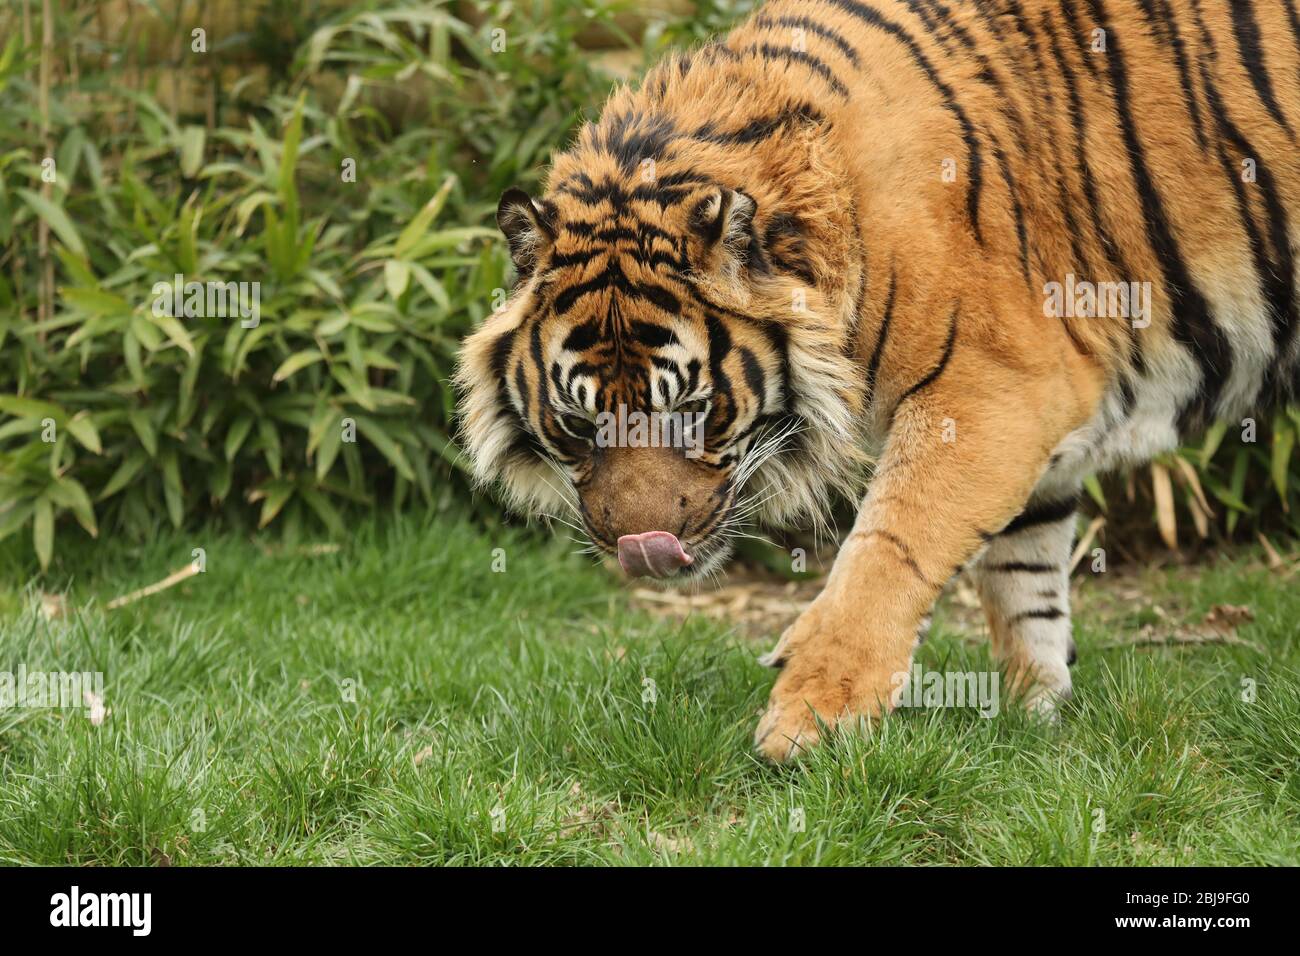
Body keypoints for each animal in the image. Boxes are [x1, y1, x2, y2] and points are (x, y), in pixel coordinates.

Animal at [455, 0, 1300, 762]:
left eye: (694, 410)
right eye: (578, 424)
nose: (643, 551)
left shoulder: (995, 391)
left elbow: (888, 549)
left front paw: (809, 721)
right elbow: (1024, 576)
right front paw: (1039, 720)